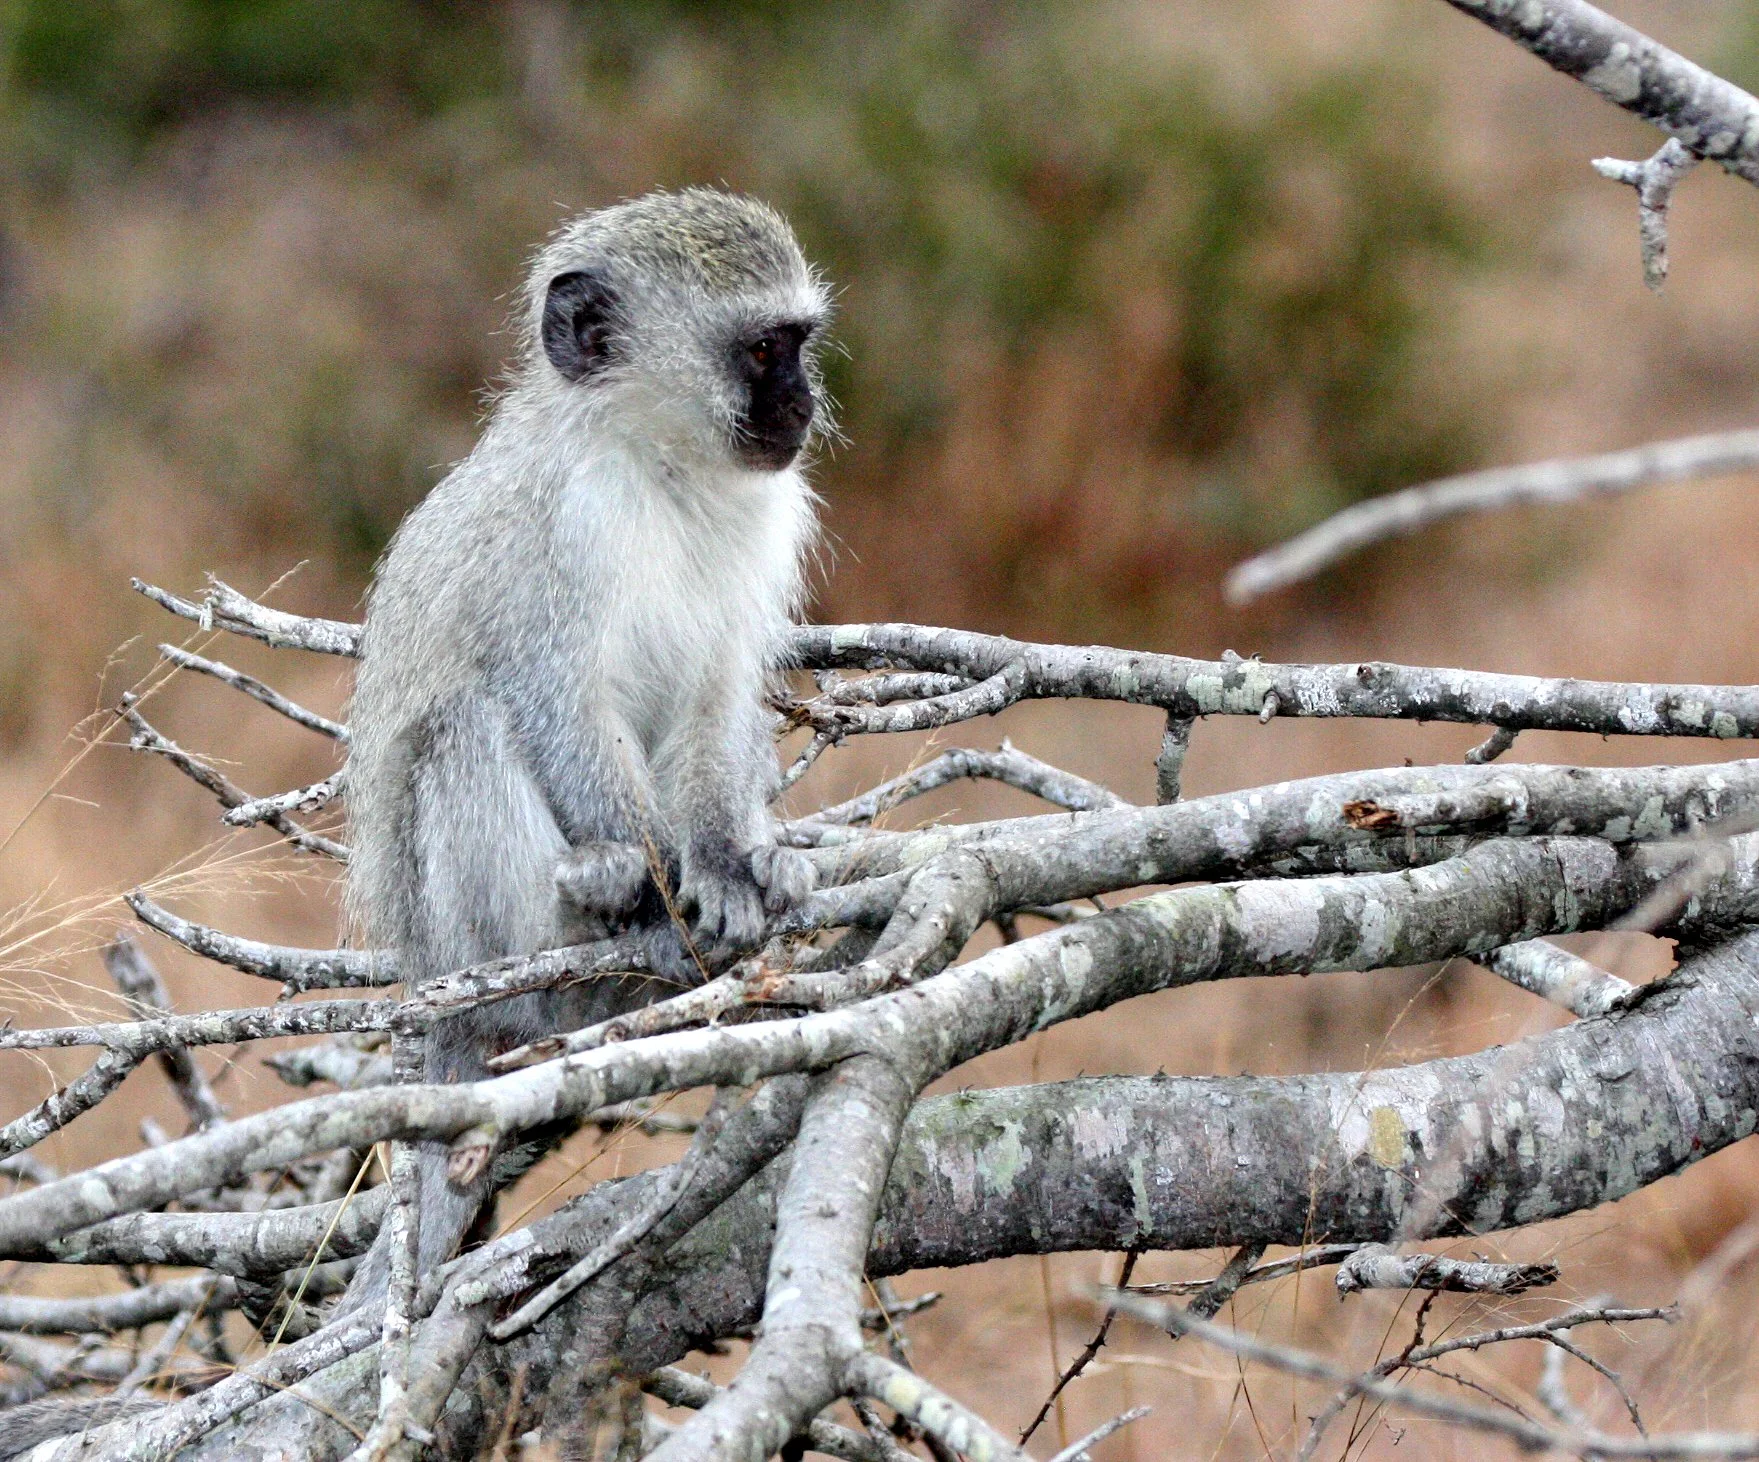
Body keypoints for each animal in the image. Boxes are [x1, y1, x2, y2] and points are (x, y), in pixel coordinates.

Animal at [337, 187, 831, 1303]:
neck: (664, 469)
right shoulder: (562, 529)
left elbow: (717, 700)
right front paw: (658, 898)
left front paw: (728, 866)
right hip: (465, 943)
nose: (806, 402)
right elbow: (555, 698)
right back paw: (593, 910)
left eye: (798, 344)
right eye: (762, 350)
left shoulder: (765, 508)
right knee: (461, 726)